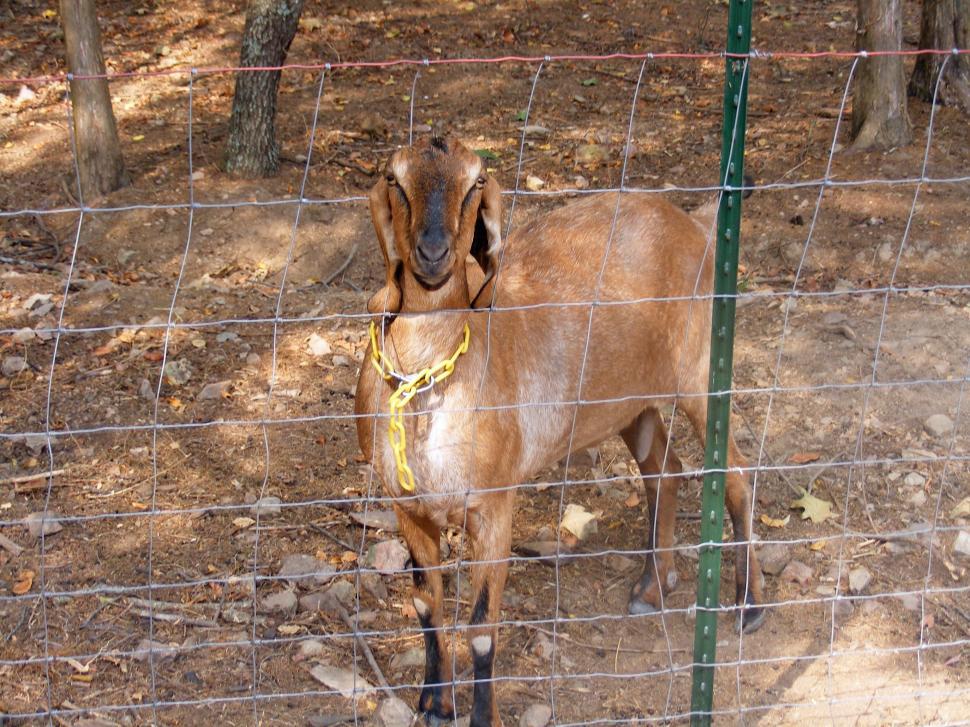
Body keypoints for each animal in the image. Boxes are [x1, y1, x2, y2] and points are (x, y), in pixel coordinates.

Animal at [355, 136, 764, 726]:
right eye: (394, 177)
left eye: (477, 180)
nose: (433, 253)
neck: (430, 377)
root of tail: (698, 224)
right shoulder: (407, 509)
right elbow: (426, 604)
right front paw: (434, 703)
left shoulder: (493, 507)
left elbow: (482, 626)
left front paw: (482, 716)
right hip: (628, 399)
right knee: (664, 470)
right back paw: (652, 586)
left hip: (702, 371)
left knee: (735, 473)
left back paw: (749, 603)